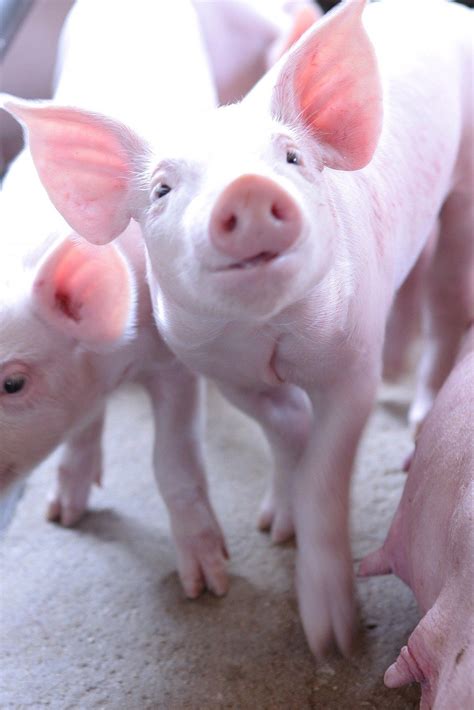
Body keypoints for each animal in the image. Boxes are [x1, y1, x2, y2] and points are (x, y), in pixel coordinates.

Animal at [2, 0, 472, 657]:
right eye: (162, 189)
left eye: (292, 157)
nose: (247, 189)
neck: (268, 334)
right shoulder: (220, 371)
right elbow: (284, 425)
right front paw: (270, 531)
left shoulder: (353, 364)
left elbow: (327, 470)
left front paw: (333, 640)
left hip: (465, 185)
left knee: (446, 293)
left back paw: (416, 420)